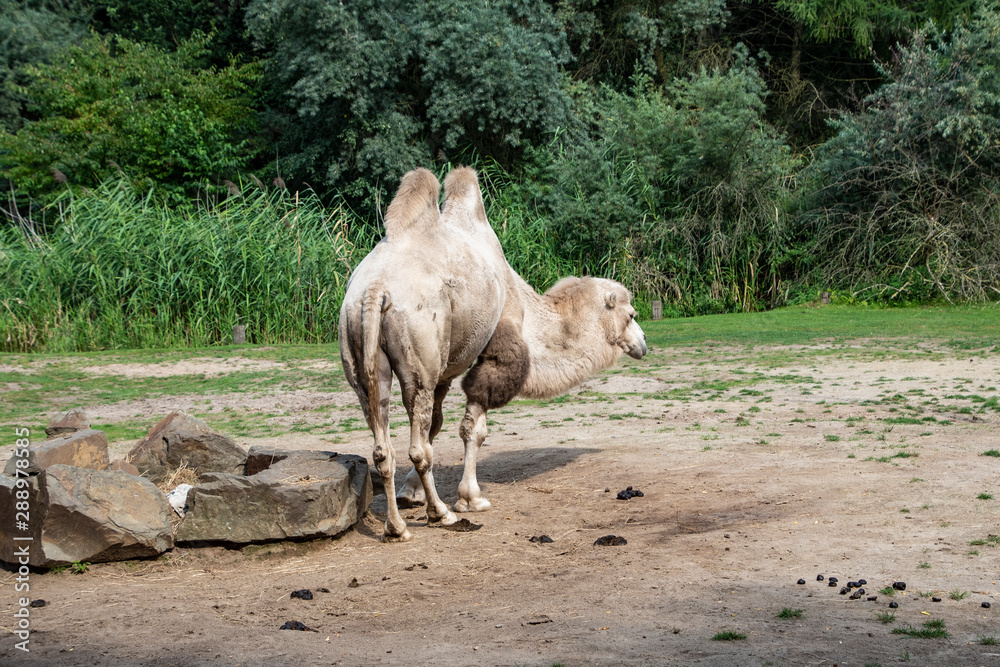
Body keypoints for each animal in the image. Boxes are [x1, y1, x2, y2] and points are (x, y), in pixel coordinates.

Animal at [339, 167, 646, 542]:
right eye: (631, 315)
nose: (643, 342)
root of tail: (376, 288)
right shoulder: (497, 348)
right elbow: (473, 429)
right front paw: (470, 498)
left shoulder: (445, 368)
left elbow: (435, 427)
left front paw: (410, 492)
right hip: (417, 356)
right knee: (416, 446)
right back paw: (440, 514)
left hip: (358, 346)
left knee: (383, 441)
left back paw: (397, 527)